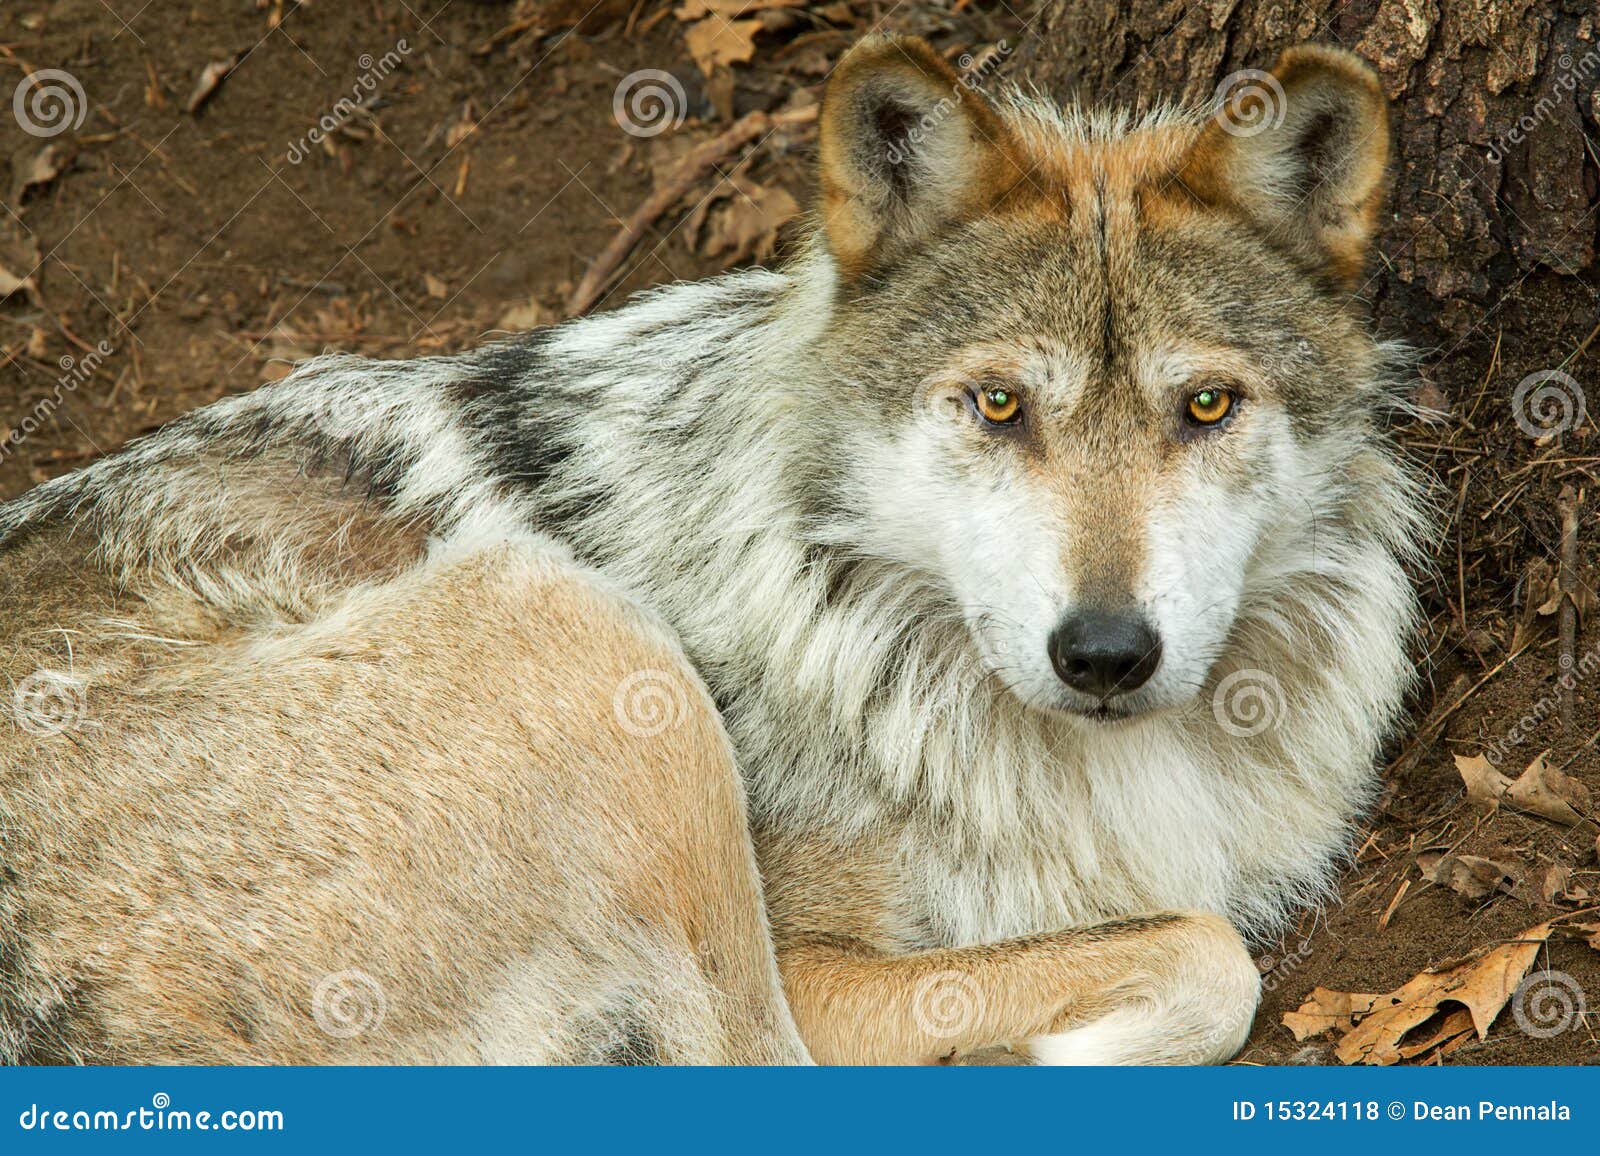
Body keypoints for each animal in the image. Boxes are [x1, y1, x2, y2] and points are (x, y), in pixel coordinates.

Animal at [0, 36, 1423, 1065]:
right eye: (999, 404)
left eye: (1206, 406)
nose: (1107, 653)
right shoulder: (828, 970)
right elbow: (1204, 951)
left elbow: (1202, 944)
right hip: (585, 642)